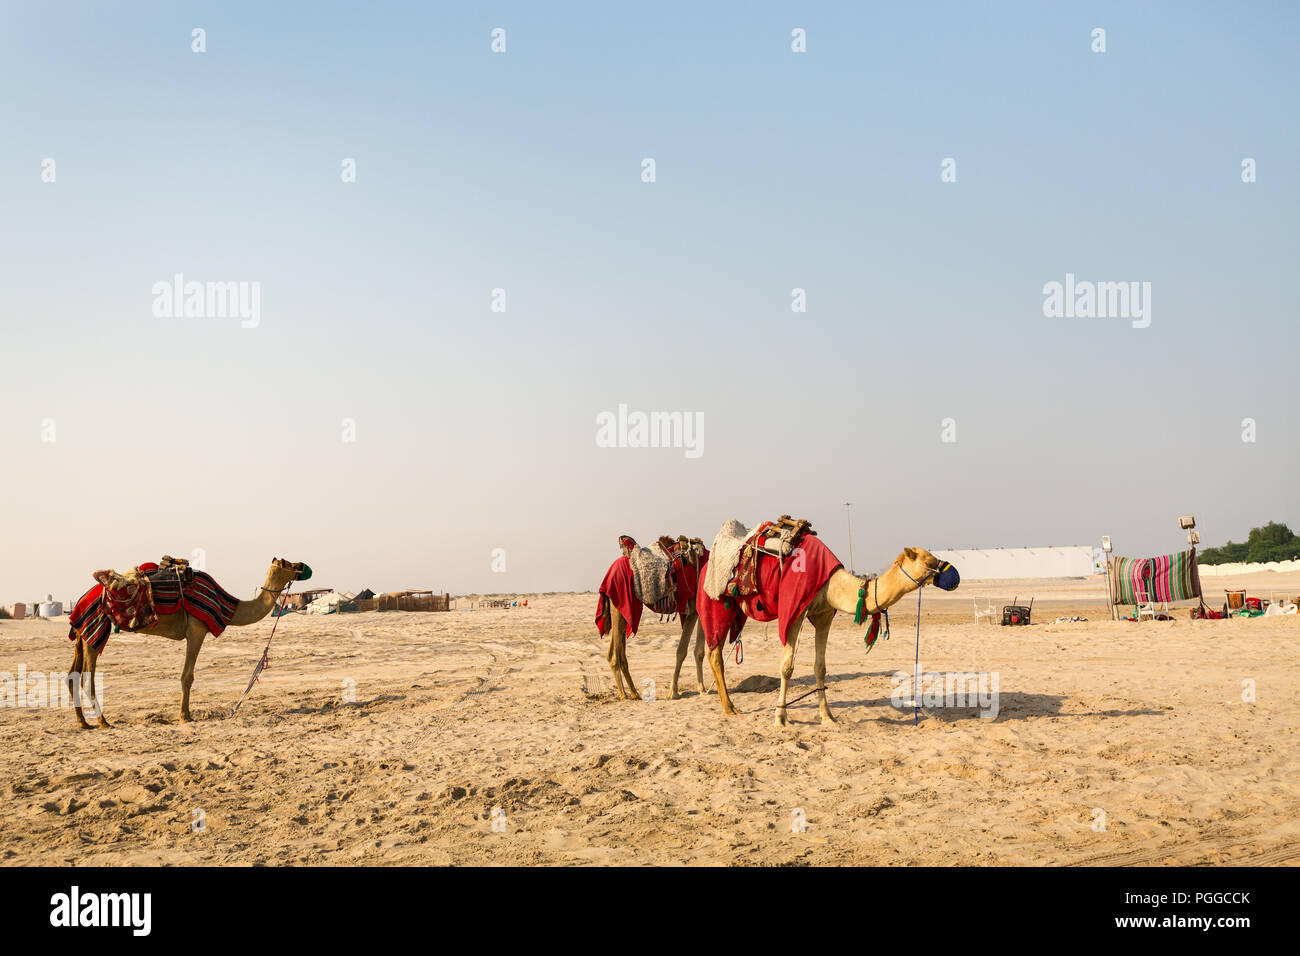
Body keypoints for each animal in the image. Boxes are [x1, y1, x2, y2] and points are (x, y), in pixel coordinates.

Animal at [67, 557, 311, 729]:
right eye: (288, 563)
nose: (304, 566)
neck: (229, 605)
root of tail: (80, 600)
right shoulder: (197, 629)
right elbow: (187, 676)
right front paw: (185, 716)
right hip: (97, 629)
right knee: (88, 679)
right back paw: (102, 722)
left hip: (82, 633)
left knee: (73, 675)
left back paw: (83, 723)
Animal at [595, 535, 709, 701]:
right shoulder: (694, 608)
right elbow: (689, 651)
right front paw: (682, 691)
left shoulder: (696, 610)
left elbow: (691, 651)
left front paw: (693, 690)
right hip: (620, 605)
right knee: (614, 655)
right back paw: (624, 695)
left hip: (623, 610)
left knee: (620, 654)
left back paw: (635, 693)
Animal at [698, 542, 958, 725]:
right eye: (929, 560)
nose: (954, 575)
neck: (832, 585)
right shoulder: (794, 611)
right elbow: (787, 667)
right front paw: (781, 718)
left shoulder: (824, 615)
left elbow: (820, 667)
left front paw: (827, 716)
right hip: (717, 603)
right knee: (714, 653)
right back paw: (729, 707)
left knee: (713, 652)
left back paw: (727, 705)